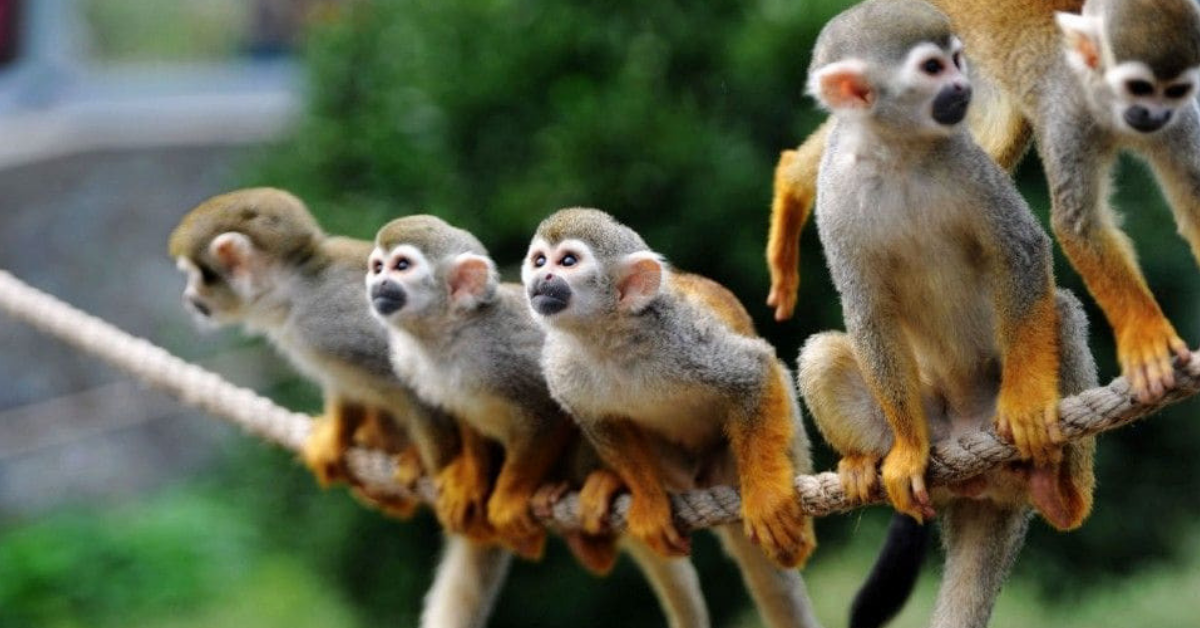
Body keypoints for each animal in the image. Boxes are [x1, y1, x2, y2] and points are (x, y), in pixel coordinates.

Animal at [169, 188, 512, 628]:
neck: (295, 294)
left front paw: (447, 477)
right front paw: (334, 439)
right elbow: (346, 389)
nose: (188, 298)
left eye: (197, 276)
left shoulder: (329, 325)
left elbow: (412, 379)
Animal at [366, 214, 712, 628]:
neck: (452, 337)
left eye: (401, 266)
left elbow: (547, 412)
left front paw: (507, 498)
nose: (377, 282)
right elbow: (471, 422)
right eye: (378, 267)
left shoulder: (503, 349)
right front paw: (471, 482)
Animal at [524, 207, 823, 628]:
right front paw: (650, 503)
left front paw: (766, 496)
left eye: (567, 261)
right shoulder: (560, 365)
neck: (607, 338)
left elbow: (755, 370)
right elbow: (598, 420)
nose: (542, 278)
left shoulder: (680, 337)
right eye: (539, 260)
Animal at [768, 0, 1199, 404]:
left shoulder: (1178, 117)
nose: (1151, 114)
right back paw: (793, 183)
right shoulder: (1068, 112)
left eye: (1174, 90)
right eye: (1138, 87)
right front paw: (1147, 337)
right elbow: (1077, 223)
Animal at [793, 3, 1099, 626]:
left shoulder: (968, 161)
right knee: (824, 354)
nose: (964, 86)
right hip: (936, 436)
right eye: (933, 68)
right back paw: (867, 463)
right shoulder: (835, 193)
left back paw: (1059, 491)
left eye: (959, 60)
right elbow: (867, 313)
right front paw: (907, 453)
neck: (896, 152)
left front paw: (1026, 406)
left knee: (1059, 311)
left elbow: (1020, 251)